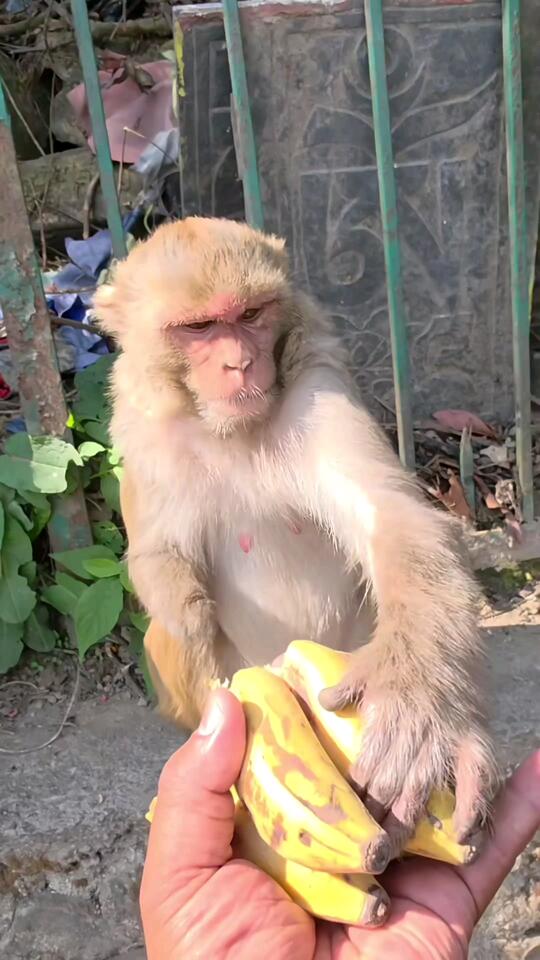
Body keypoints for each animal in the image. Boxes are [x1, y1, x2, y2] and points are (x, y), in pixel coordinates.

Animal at [94, 216, 498, 855]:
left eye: (251, 314)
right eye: (200, 327)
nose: (239, 363)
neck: (230, 429)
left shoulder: (318, 388)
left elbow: (394, 515)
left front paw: (415, 703)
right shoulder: (140, 429)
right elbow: (158, 558)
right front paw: (186, 604)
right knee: (167, 639)